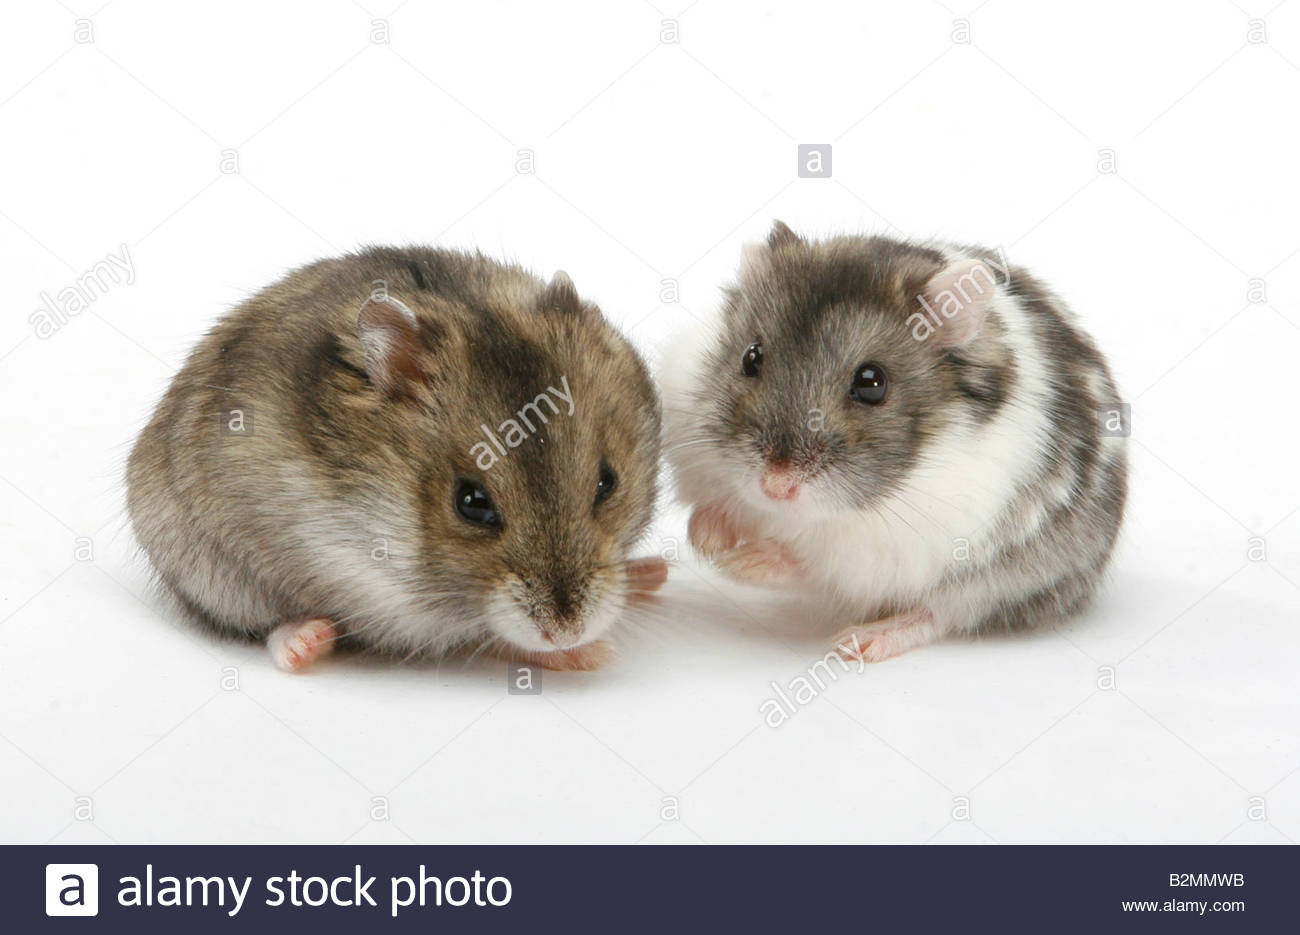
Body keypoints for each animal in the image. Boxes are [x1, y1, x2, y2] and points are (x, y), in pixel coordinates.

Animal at [127, 246, 666, 673]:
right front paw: (592, 656)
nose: (569, 632)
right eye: (471, 503)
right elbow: (477, 632)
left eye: (608, 482)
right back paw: (307, 643)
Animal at [662, 221, 1127, 662]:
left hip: (1006, 582)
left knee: (939, 613)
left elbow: (814, 567)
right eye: (751, 357)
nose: (775, 486)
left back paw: (860, 643)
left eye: (872, 383)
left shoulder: (895, 547)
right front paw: (708, 537)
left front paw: (735, 563)